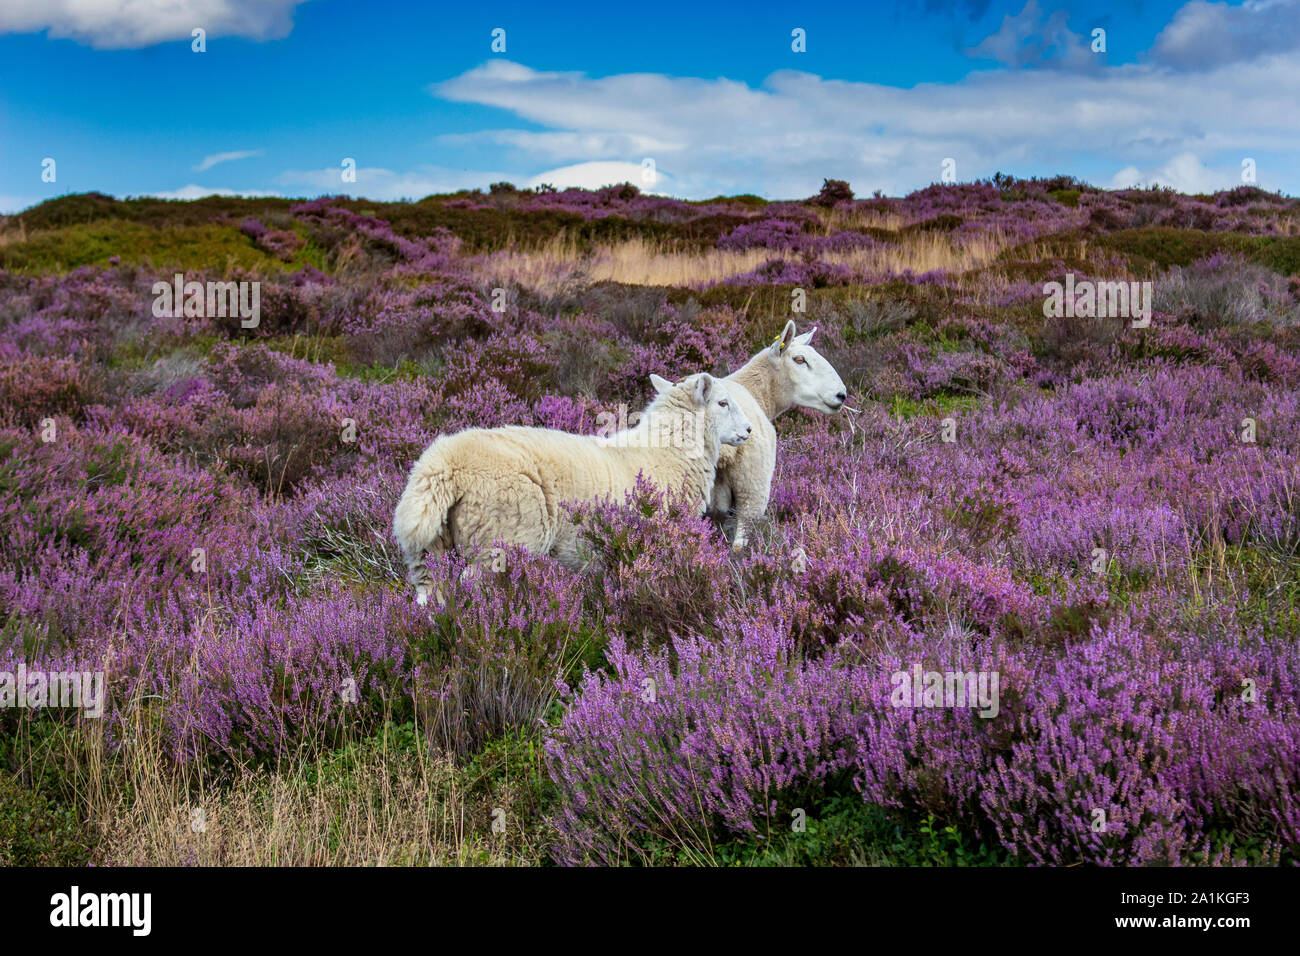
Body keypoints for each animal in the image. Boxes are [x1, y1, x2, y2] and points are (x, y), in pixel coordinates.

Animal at [393, 372, 752, 605]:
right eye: (723, 403)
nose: (749, 429)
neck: (667, 452)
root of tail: (444, 463)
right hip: (498, 541)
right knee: (471, 584)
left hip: (429, 549)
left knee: (430, 597)